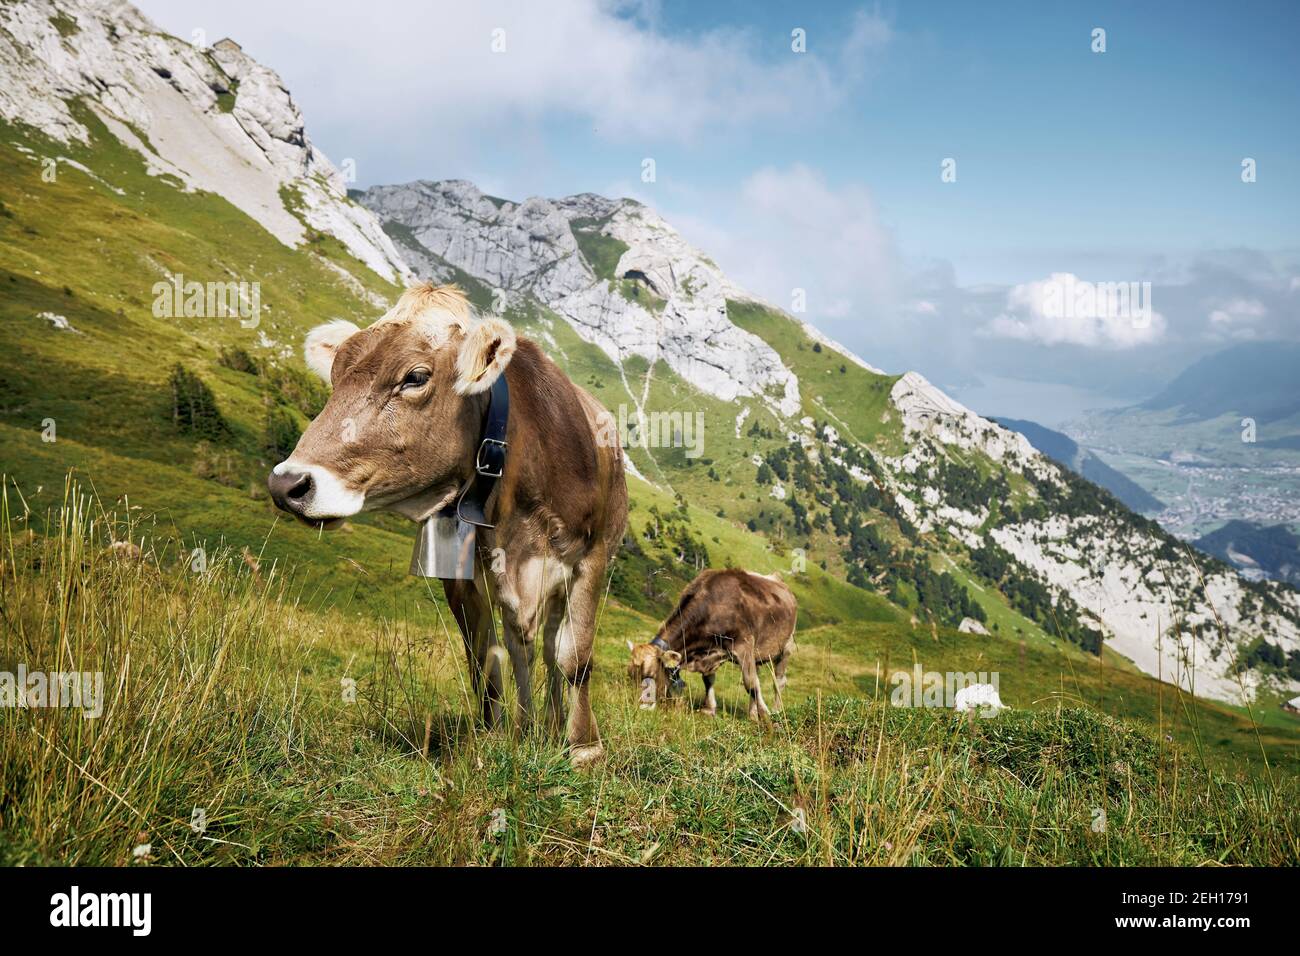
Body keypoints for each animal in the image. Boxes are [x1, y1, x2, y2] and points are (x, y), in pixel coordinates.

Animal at [267, 283, 627, 768]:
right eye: (336, 375)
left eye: (415, 377)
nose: (287, 484)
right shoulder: (463, 577)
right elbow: (484, 658)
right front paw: (496, 738)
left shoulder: (592, 556)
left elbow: (576, 657)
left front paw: (585, 747)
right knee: (523, 643)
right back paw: (531, 727)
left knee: (551, 649)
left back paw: (553, 726)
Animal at [627, 569, 796, 721]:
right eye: (630, 675)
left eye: (650, 676)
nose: (639, 706)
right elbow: (709, 680)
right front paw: (709, 709)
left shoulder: (744, 644)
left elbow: (751, 684)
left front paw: (766, 715)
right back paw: (752, 714)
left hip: (786, 646)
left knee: (779, 681)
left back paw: (776, 712)